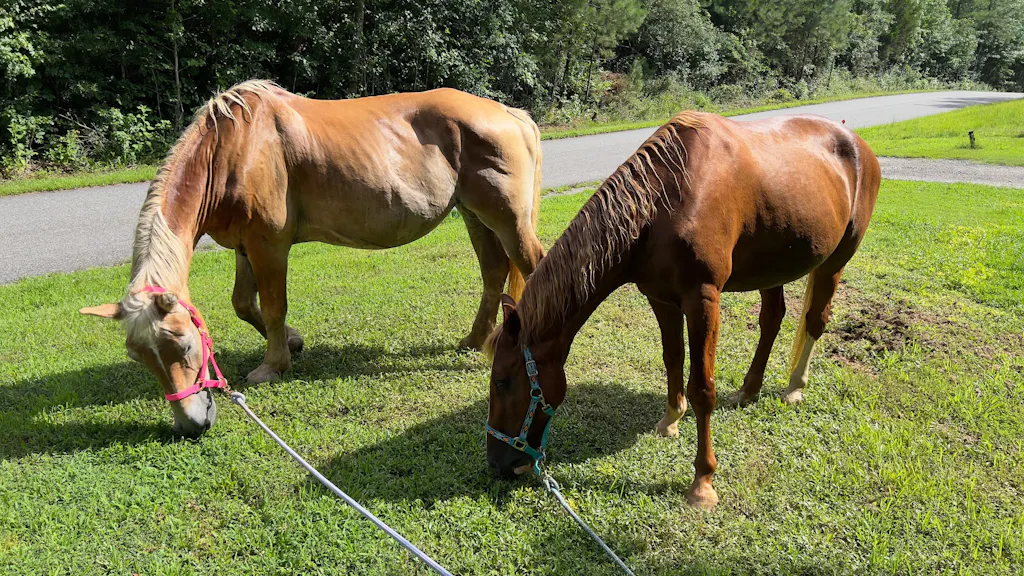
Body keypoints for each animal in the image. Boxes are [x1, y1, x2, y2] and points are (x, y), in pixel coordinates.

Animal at [80, 80, 546, 438]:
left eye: (186, 344)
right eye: (139, 357)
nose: (192, 425)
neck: (233, 151)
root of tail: (510, 114)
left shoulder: (268, 244)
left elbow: (272, 306)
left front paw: (273, 364)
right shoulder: (245, 247)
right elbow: (243, 304)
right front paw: (293, 341)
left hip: (506, 217)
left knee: (532, 265)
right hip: (472, 213)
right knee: (494, 272)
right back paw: (474, 340)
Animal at [485, 111, 881, 509]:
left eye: (502, 381)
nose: (498, 464)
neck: (659, 206)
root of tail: (857, 144)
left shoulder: (703, 299)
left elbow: (702, 388)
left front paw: (702, 482)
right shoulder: (660, 298)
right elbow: (673, 357)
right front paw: (670, 420)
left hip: (836, 261)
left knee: (815, 321)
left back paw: (795, 387)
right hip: (773, 268)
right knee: (772, 319)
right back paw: (748, 390)